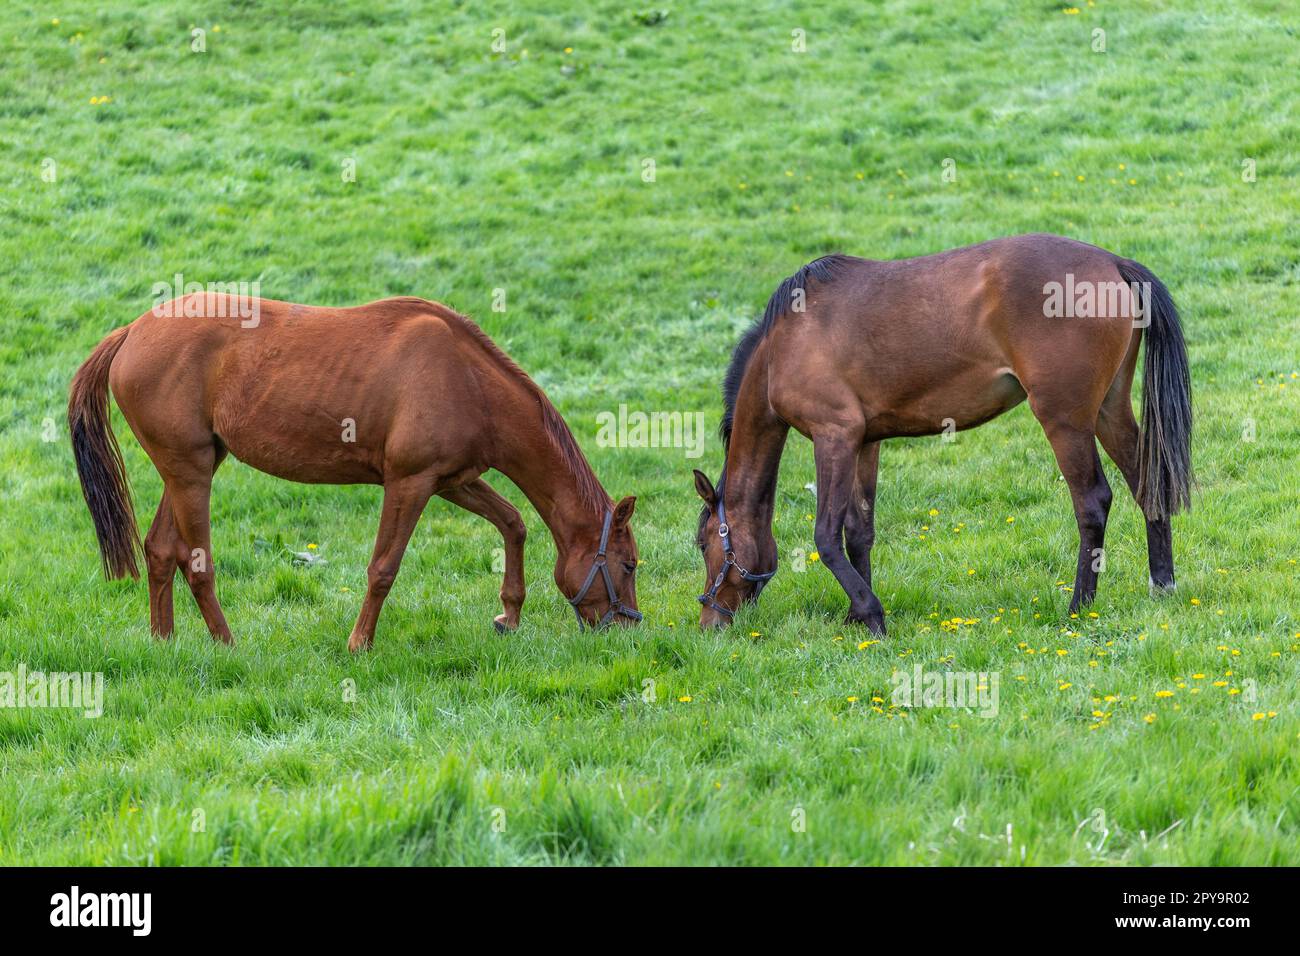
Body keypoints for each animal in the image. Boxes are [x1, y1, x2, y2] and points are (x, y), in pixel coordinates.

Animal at [69, 294, 641, 651]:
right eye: (629, 565)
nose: (629, 627)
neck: (468, 379)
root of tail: (133, 332)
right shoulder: (410, 484)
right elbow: (383, 568)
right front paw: (359, 643)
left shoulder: (452, 481)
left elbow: (513, 523)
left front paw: (509, 614)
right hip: (191, 475)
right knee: (197, 565)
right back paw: (227, 643)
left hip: (191, 469)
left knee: (161, 551)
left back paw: (164, 640)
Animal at [694, 233, 1192, 631]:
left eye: (703, 544)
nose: (709, 620)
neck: (784, 345)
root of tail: (1112, 262)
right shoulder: (864, 443)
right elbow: (859, 532)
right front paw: (857, 614)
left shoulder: (834, 436)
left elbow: (826, 537)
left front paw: (871, 614)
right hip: (1109, 410)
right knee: (1146, 484)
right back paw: (1162, 585)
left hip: (1064, 419)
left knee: (1092, 502)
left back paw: (1078, 606)